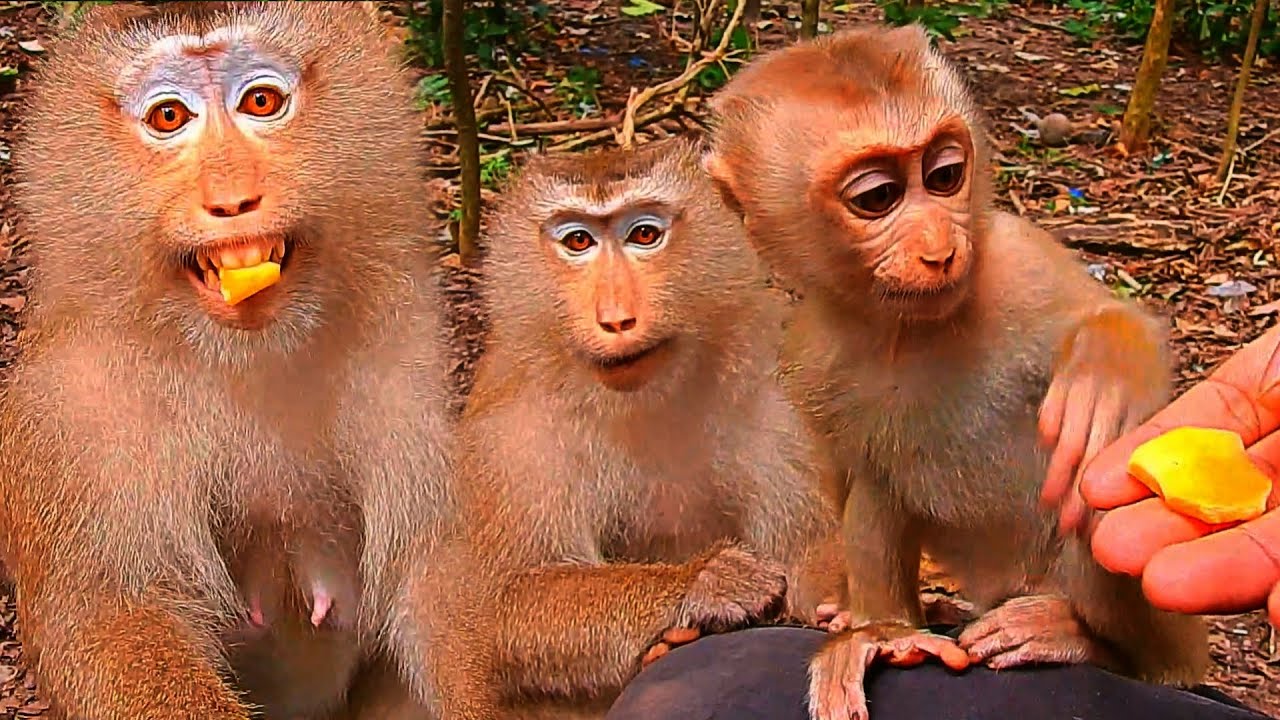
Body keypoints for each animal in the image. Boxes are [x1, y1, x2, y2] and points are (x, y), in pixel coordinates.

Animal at [0, 3, 457, 718]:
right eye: (168, 116)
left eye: (261, 102)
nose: (233, 198)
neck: (242, 350)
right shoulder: (72, 408)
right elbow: (111, 619)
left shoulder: (409, 349)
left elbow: (438, 577)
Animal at [430, 135, 847, 719]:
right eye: (578, 241)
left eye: (645, 234)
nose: (616, 318)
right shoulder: (513, 439)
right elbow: (503, 612)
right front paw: (703, 581)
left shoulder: (778, 398)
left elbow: (810, 549)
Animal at [702, 24, 1211, 720]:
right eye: (877, 196)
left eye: (945, 175)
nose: (940, 250)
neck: (905, 328)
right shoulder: (807, 353)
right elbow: (846, 479)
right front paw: (860, 620)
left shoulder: (1019, 263)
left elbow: (1117, 337)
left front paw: (1105, 372)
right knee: (879, 480)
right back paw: (888, 633)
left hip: (1161, 638)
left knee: (1108, 502)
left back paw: (1084, 639)